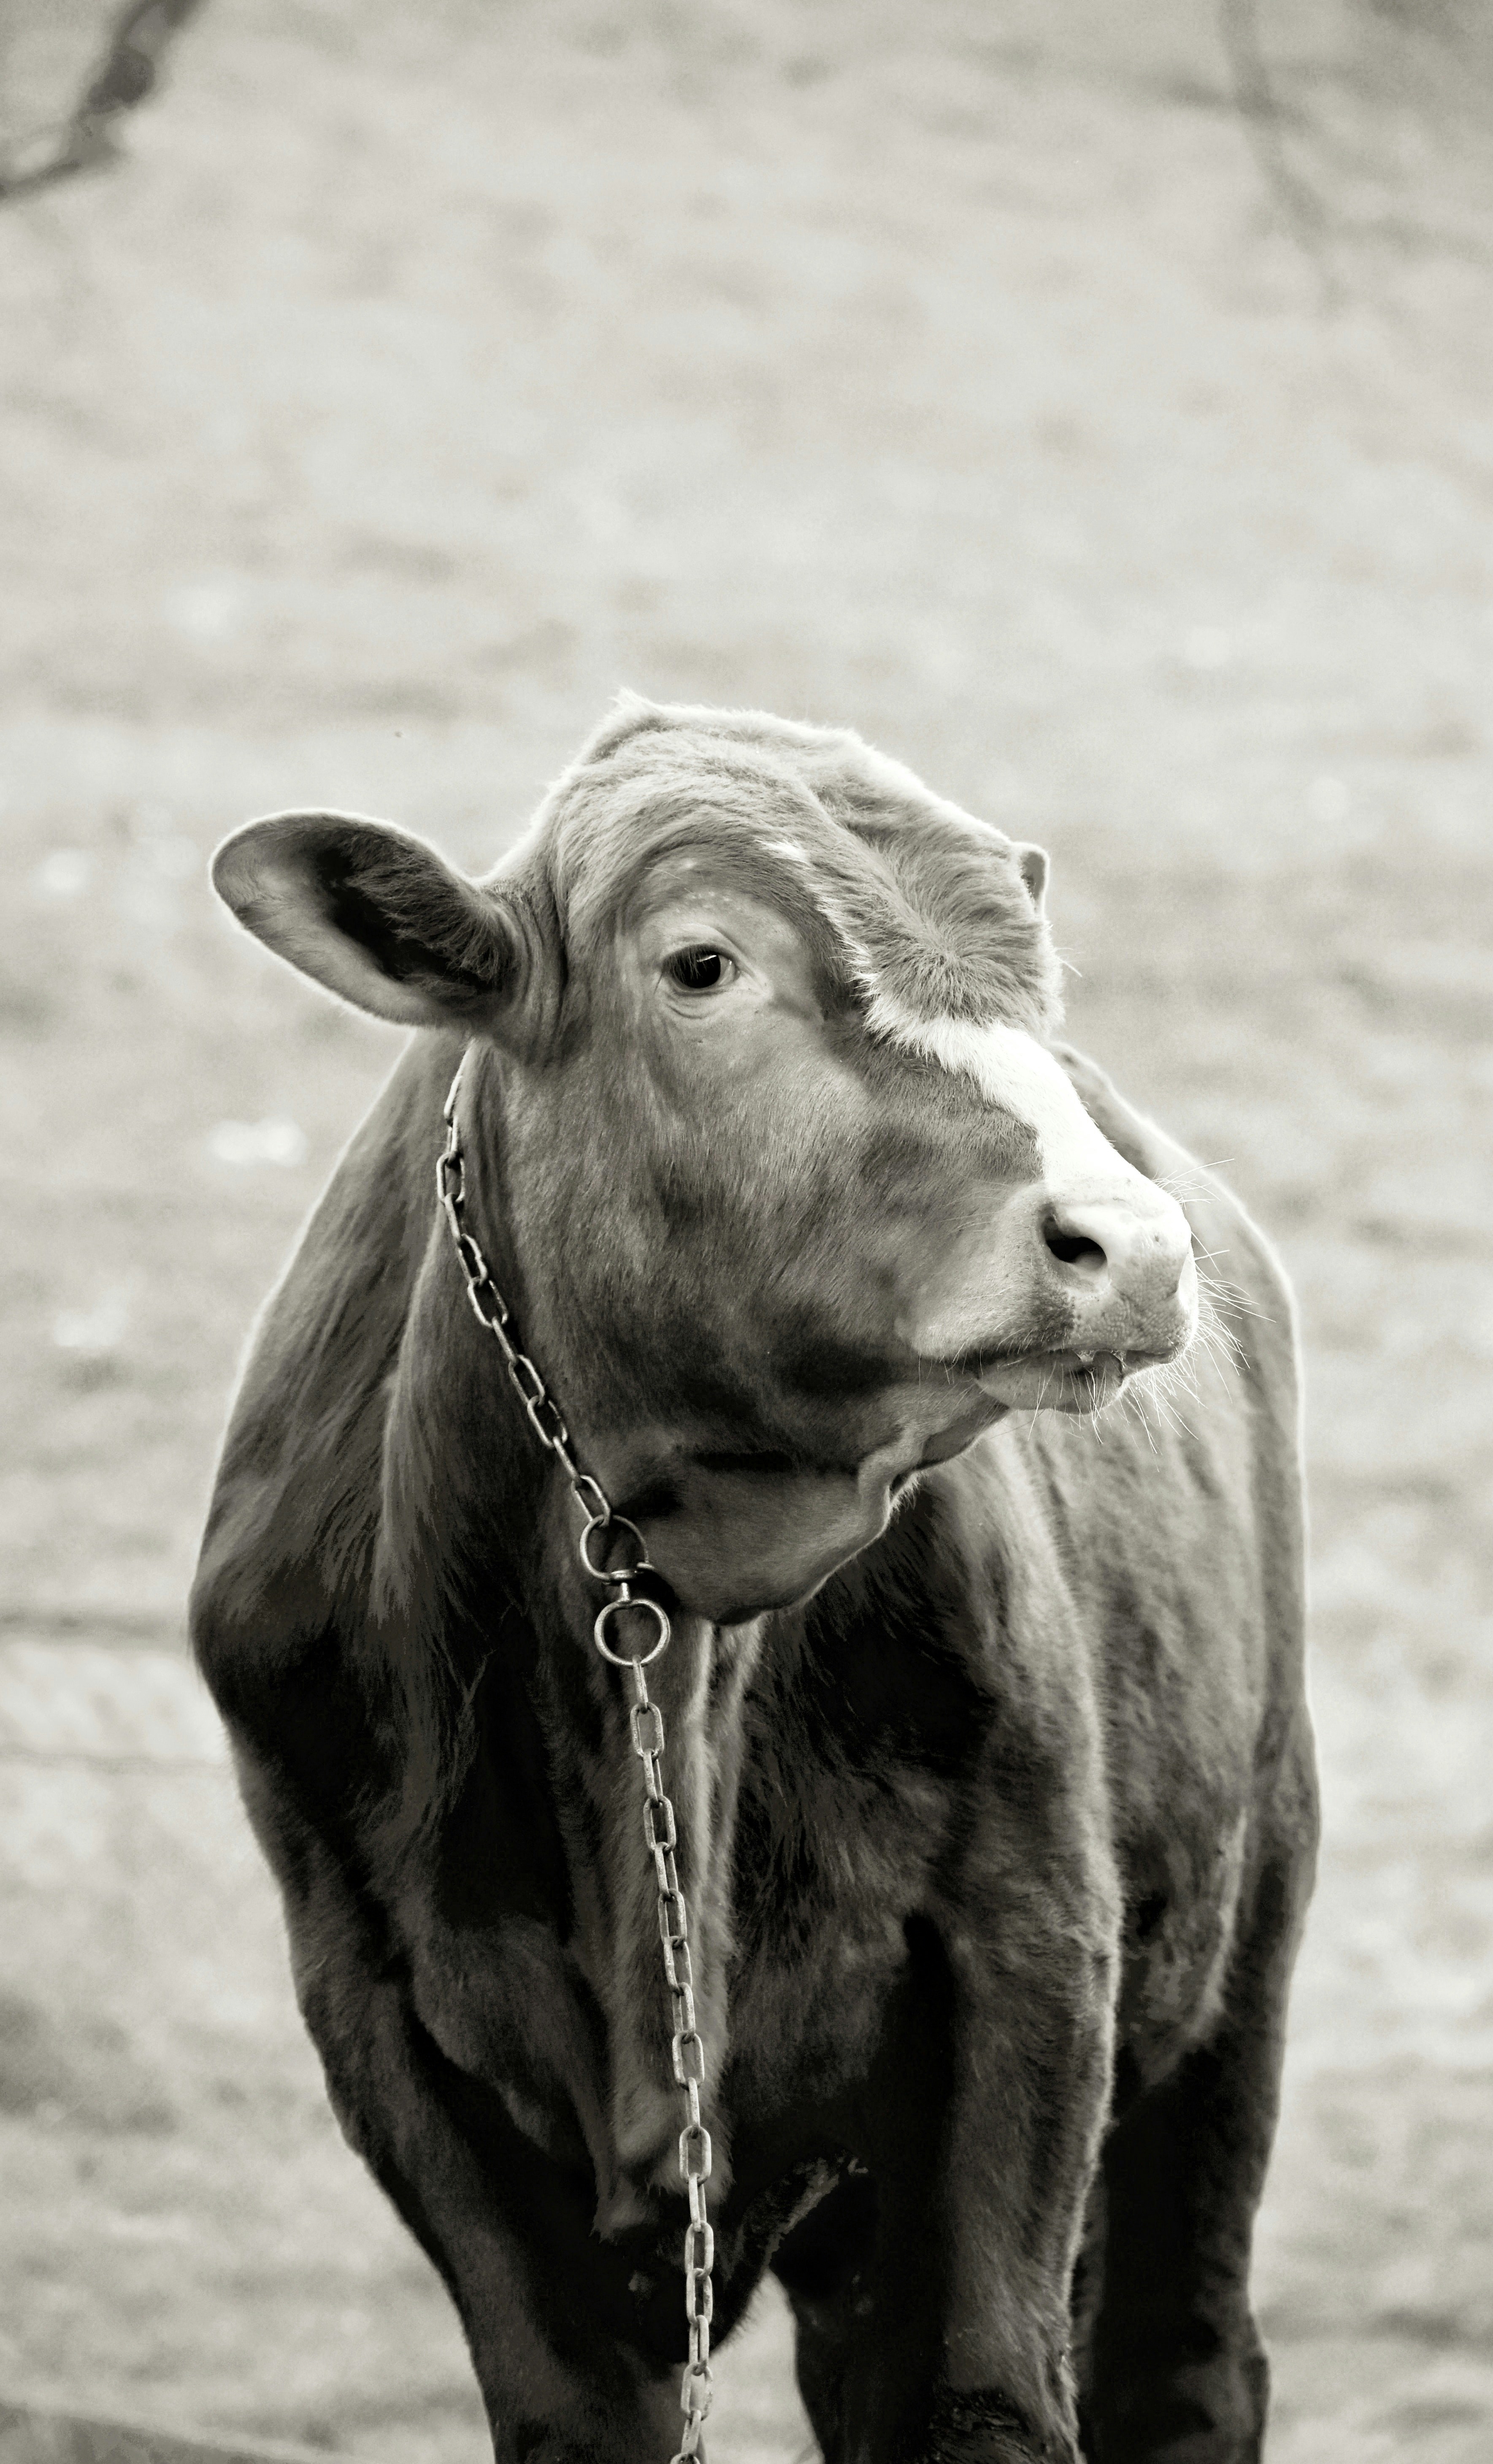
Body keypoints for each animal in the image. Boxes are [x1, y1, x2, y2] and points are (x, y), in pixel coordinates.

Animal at [192, 694, 1317, 2464]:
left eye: (1031, 967)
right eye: (702, 964)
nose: (1128, 1245)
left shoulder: (1025, 1960)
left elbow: (981, 2396)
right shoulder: (386, 2025)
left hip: (1233, 1951)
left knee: (1181, 2360)